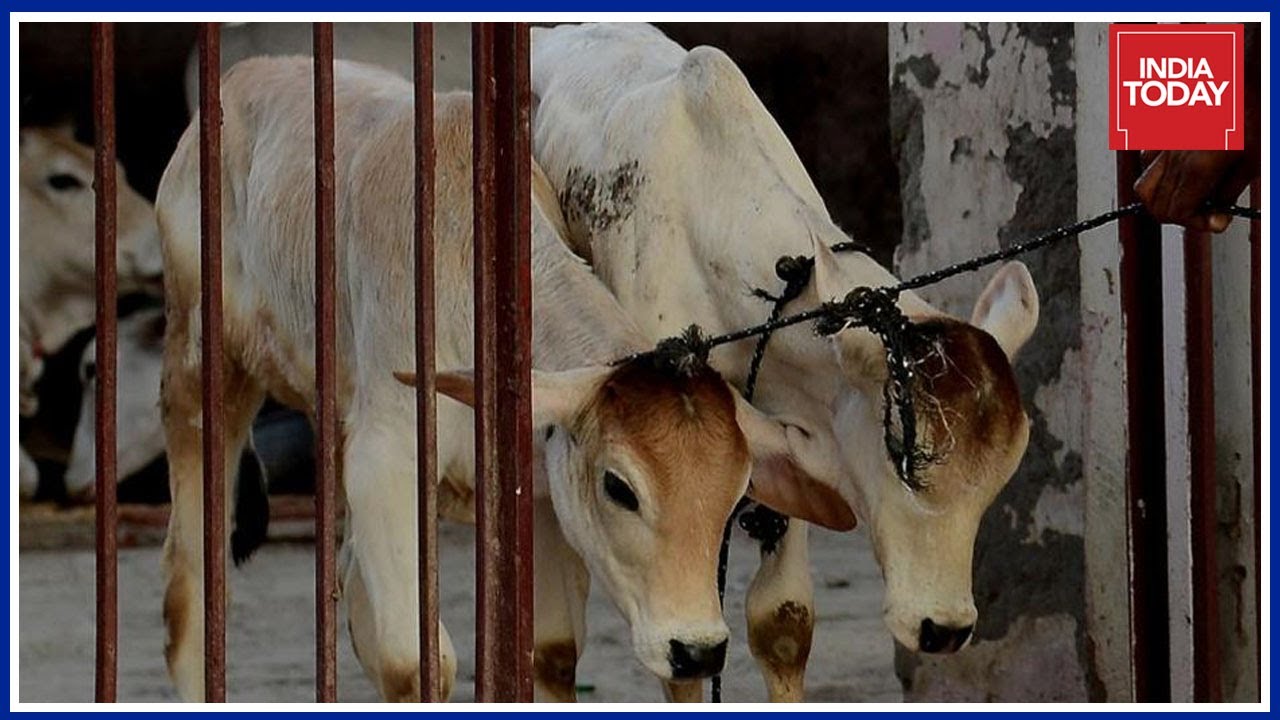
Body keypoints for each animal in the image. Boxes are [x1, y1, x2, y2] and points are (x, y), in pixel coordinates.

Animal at [154, 57, 823, 702]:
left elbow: (549, 652)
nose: (698, 650)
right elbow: (415, 665)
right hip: (200, 372)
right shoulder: (385, 463)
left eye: (737, 494)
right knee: (187, 589)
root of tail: (241, 77)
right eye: (619, 487)